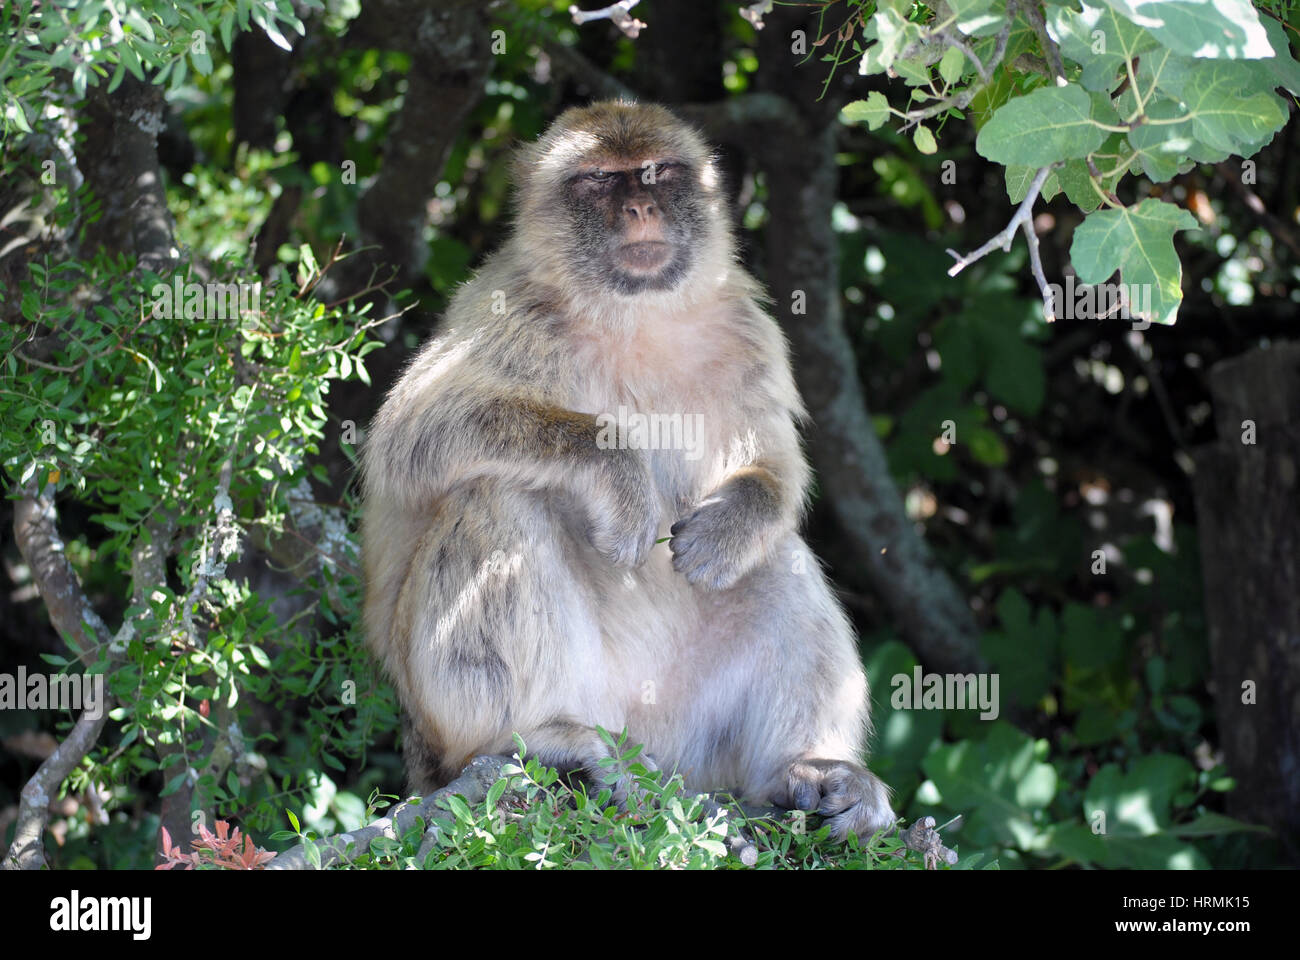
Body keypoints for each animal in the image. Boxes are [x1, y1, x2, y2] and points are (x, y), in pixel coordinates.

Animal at [361, 100, 895, 840]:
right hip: (468, 727)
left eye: (657, 172)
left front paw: (734, 522)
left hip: (691, 743)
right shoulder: (505, 310)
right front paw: (619, 475)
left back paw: (809, 773)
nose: (640, 207)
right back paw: (535, 738)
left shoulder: (750, 332)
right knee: (495, 498)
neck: (635, 319)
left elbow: (775, 467)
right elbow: (412, 434)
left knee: (778, 560)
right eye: (598, 181)